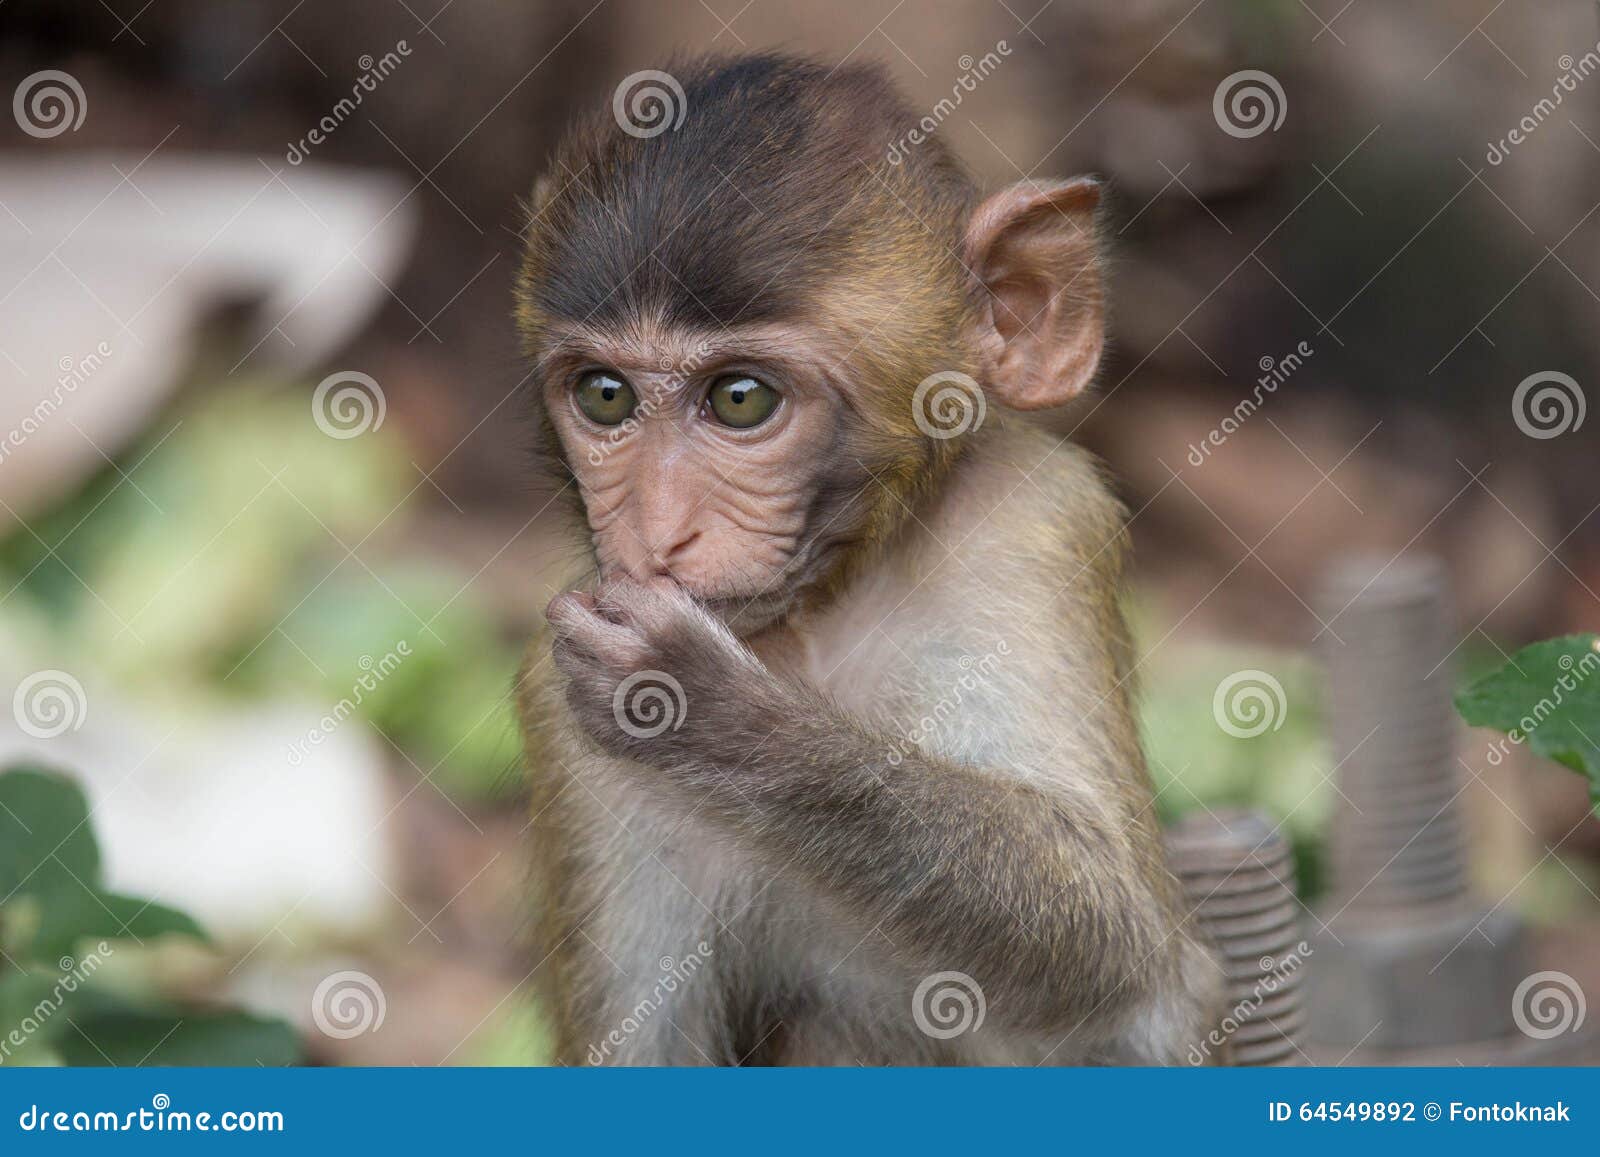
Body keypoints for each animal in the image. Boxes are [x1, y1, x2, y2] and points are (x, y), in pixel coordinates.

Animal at [513, 53, 1220, 1065]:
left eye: (739, 399)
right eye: (604, 395)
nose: (655, 532)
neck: (823, 609)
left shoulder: (1034, 522)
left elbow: (1118, 930)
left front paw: (713, 711)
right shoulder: (559, 700)